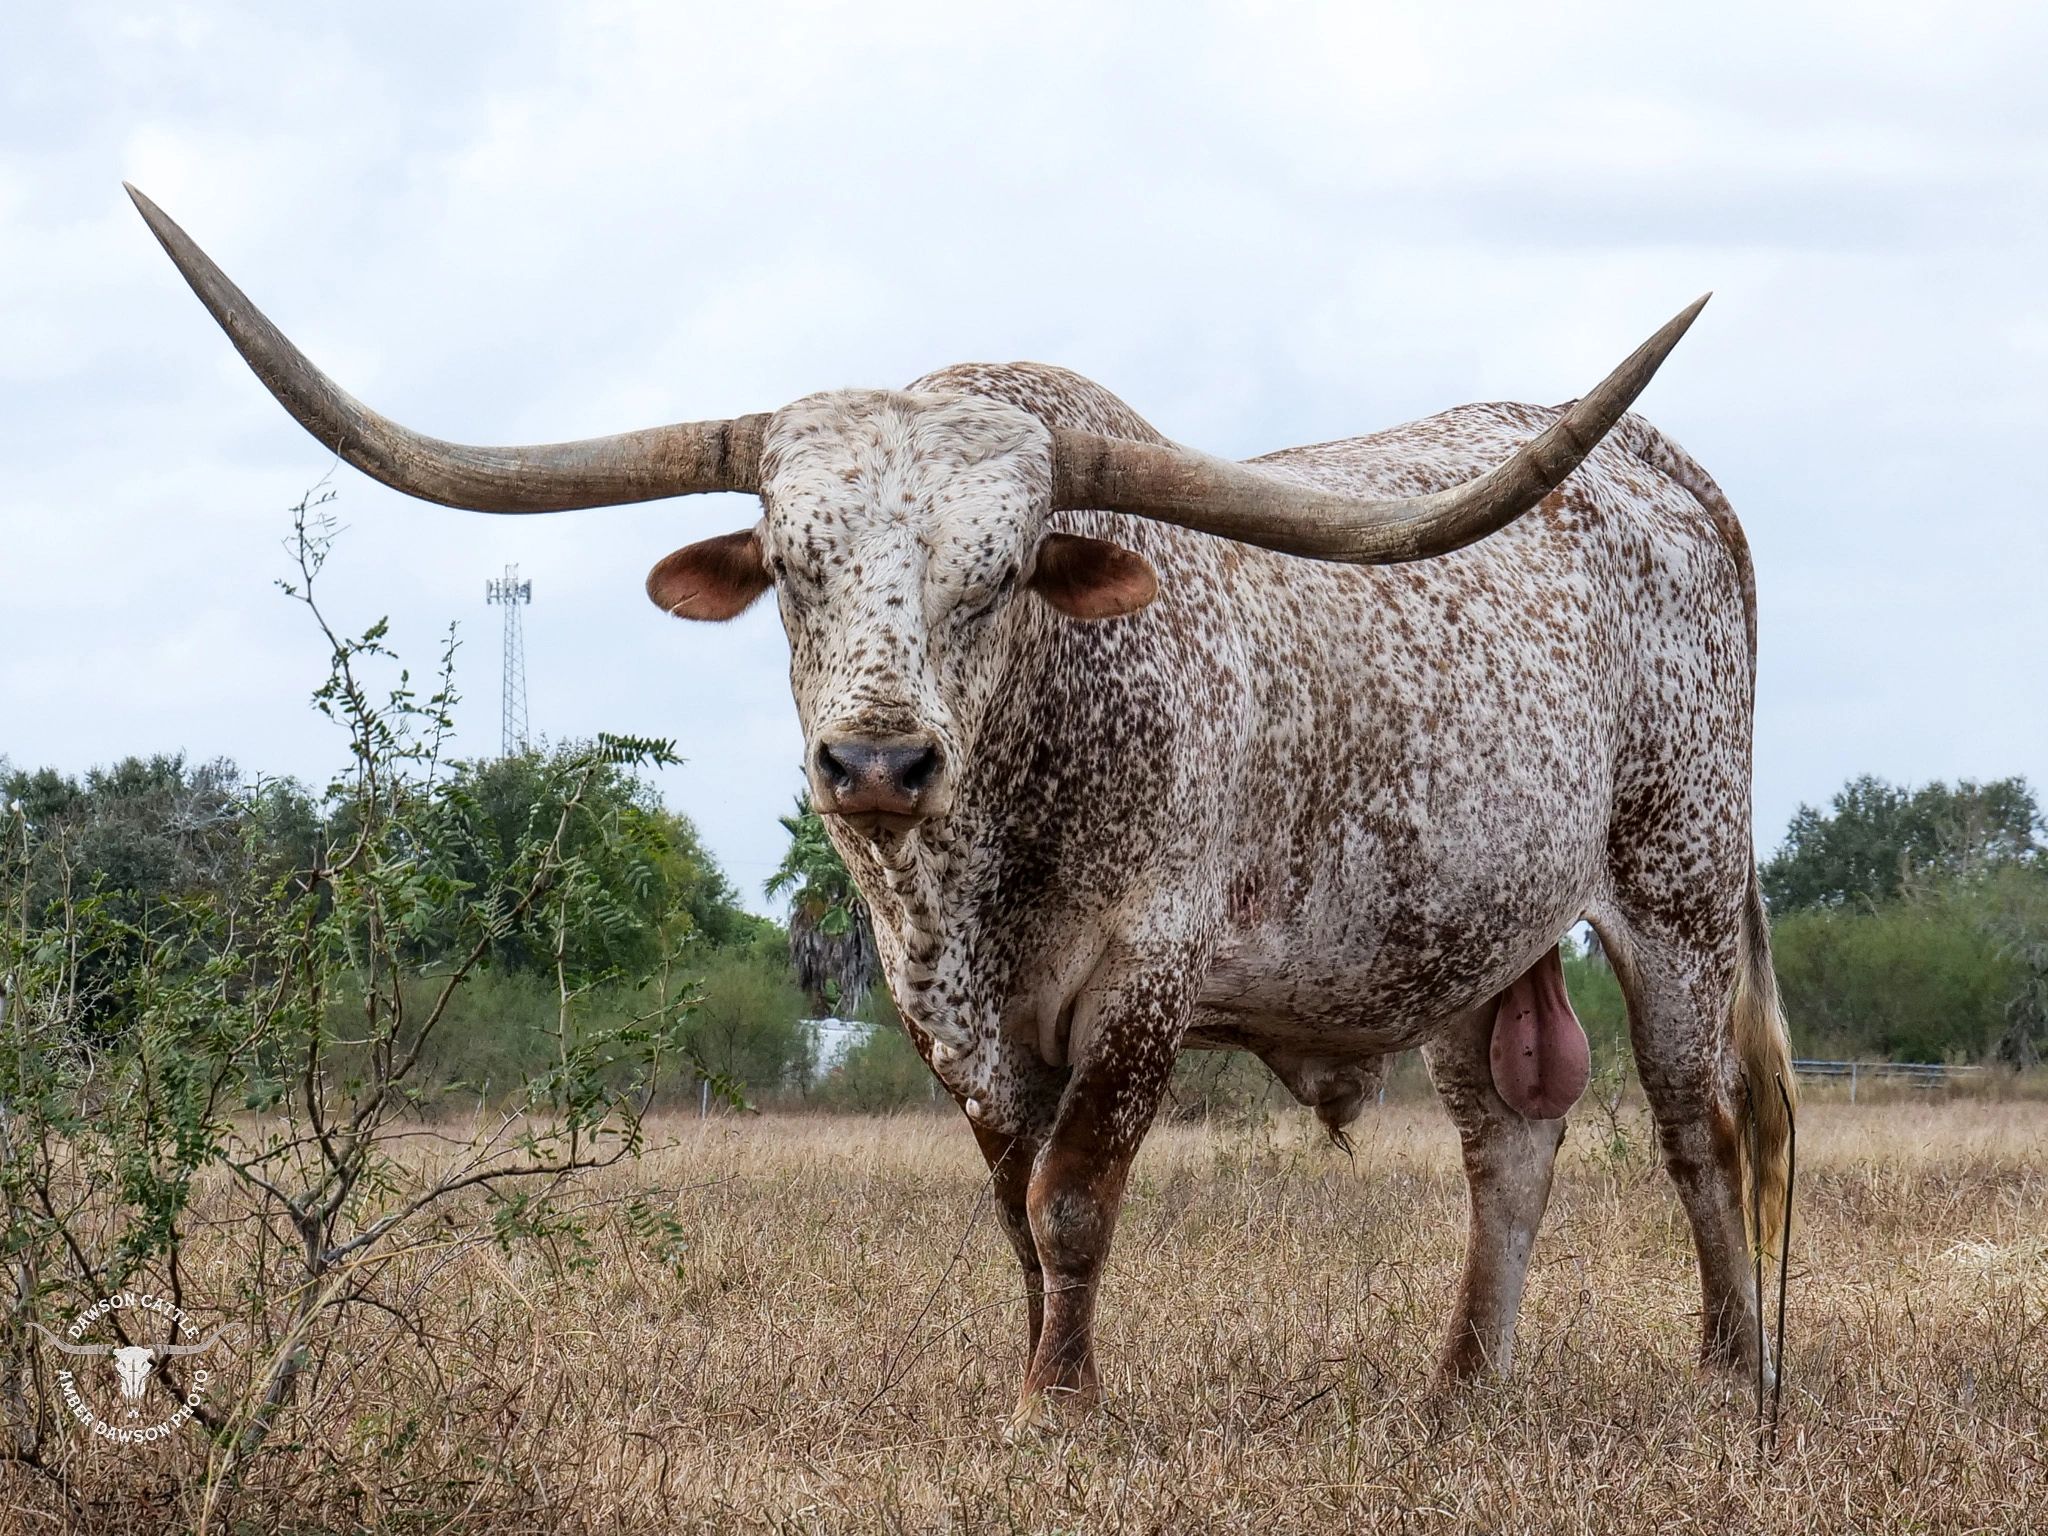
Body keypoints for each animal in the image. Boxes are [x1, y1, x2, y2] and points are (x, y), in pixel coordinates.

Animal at [128, 184, 1795, 1434]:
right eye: (790, 565)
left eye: (1000, 575)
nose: (876, 766)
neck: (1000, 837)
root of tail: (1679, 483)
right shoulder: (947, 1005)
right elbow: (1013, 1206)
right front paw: (1045, 1373)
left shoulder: (1141, 980)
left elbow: (1075, 1200)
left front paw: (1057, 1413)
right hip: (1475, 933)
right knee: (1510, 1132)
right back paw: (1459, 1386)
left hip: (1678, 877)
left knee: (1697, 1120)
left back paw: (1732, 1370)